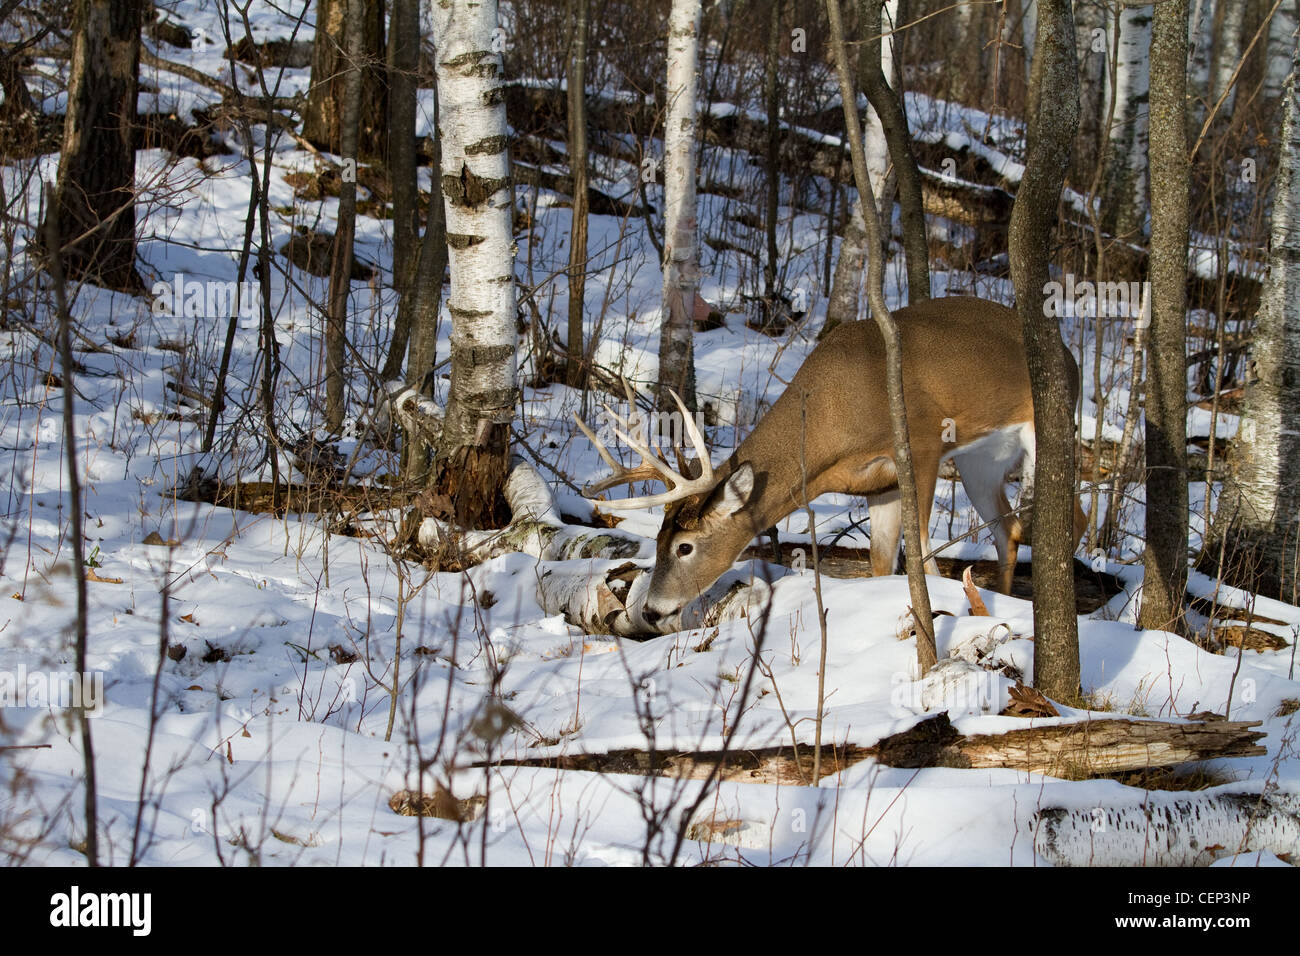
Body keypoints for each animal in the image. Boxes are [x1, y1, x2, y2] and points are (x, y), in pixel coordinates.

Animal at [575, 296, 1089, 627]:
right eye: (659, 539)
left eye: (685, 547)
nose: (652, 610)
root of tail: (1070, 353)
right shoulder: (879, 484)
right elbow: (882, 562)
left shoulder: (921, 444)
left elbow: (922, 554)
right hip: (981, 461)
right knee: (1008, 530)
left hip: (1047, 426)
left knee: (1071, 517)